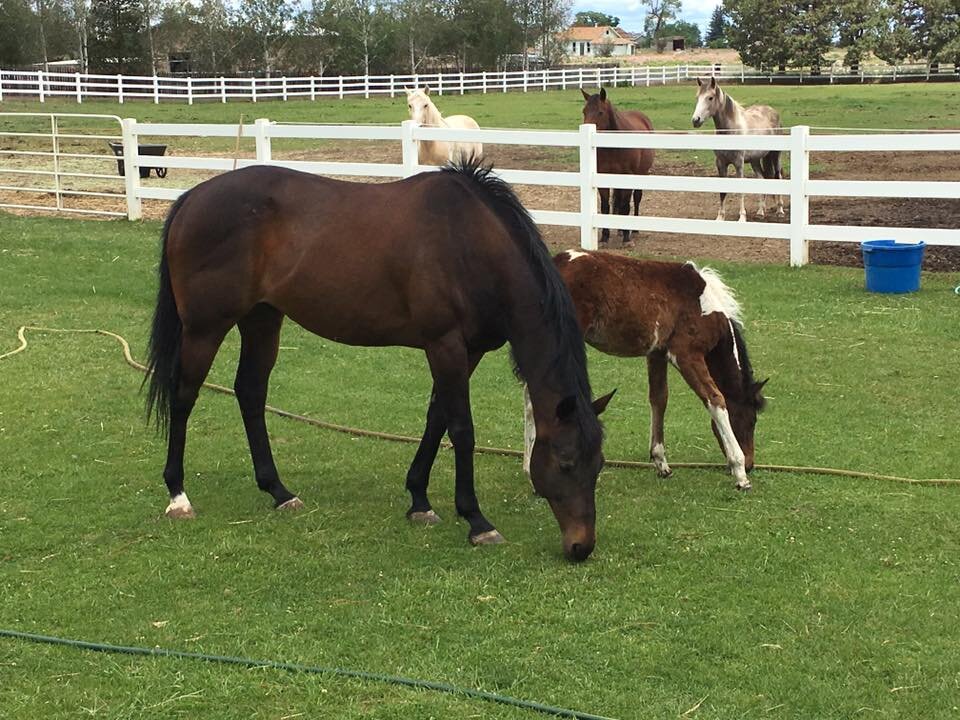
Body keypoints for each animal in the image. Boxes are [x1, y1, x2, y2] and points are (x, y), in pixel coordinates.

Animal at [145, 160, 614, 562]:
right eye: (566, 462)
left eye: (599, 466)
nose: (581, 547)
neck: (470, 242)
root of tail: (193, 197)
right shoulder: (444, 345)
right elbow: (461, 429)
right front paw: (476, 520)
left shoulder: (468, 351)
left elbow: (436, 418)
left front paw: (419, 500)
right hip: (205, 328)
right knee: (184, 396)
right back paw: (178, 495)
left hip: (262, 319)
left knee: (250, 392)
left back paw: (278, 491)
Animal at [552, 250, 767, 490]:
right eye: (751, 421)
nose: (750, 464)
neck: (706, 308)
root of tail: (558, 262)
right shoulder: (687, 356)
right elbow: (715, 399)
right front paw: (740, 474)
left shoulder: (657, 354)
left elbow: (659, 399)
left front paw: (661, 463)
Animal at [580, 87, 655, 246]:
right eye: (584, 111)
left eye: (600, 112)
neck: (614, 147)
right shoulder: (603, 177)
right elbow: (605, 206)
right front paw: (604, 236)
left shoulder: (627, 176)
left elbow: (626, 206)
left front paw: (627, 238)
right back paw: (620, 229)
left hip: (641, 174)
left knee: (636, 198)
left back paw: (633, 230)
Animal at [691, 76, 785, 222]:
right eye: (697, 97)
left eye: (710, 97)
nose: (696, 120)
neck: (731, 130)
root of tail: (773, 111)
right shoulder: (721, 164)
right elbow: (722, 191)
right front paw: (720, 217)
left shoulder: (738, 164)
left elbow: (740, 189)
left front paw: (742, 217)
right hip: (755, 160)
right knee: (762, 178)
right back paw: (760, 212)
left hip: (775, 155)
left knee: (777, 176)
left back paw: (780, 210)